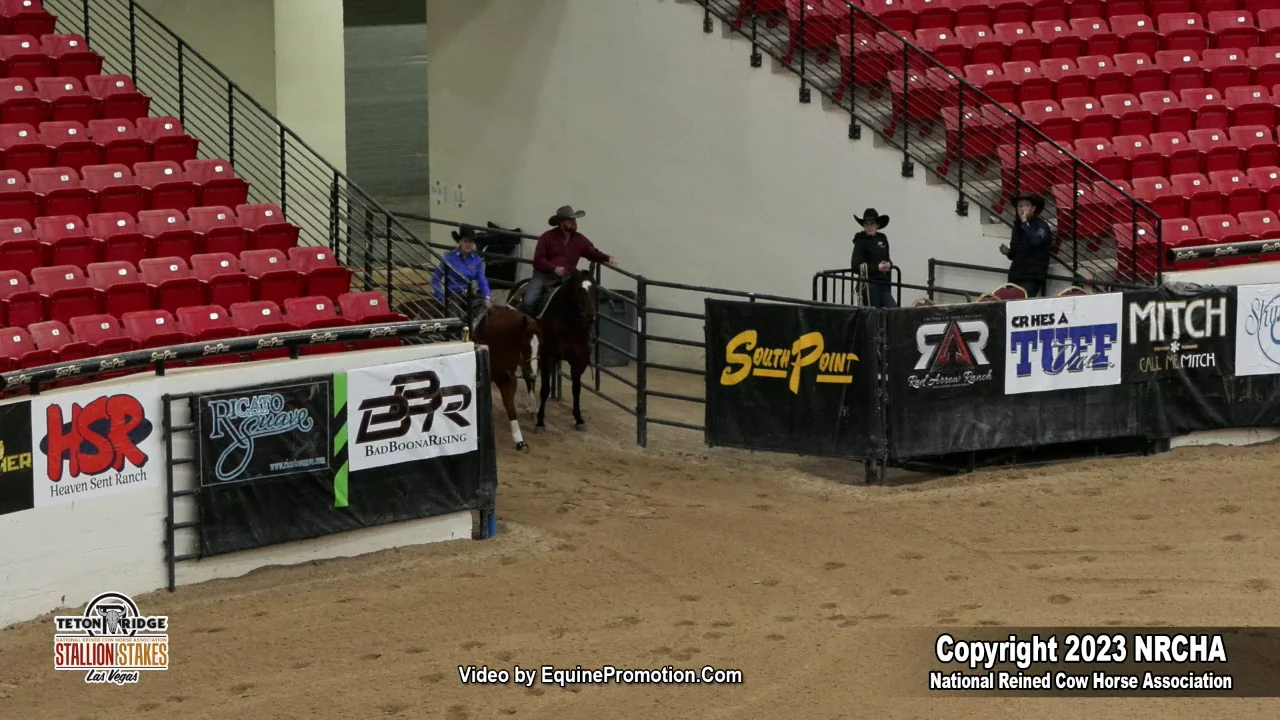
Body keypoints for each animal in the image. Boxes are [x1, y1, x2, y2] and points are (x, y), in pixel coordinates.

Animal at [471, 305, 538, 452]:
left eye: (540, 343)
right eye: (526, 343)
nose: (534, 373)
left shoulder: (507, 379)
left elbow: (511, 408)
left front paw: (520, 441)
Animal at [509, 267, 598, 430]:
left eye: (595, 288)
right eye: (579, 289)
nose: (590, 316)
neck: (568, 324)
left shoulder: (579, 361)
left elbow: (576, 389)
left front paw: (579, 419)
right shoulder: (548, 357)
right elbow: (545, 389)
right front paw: (540, 421)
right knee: (528, 376)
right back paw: (532, 408)